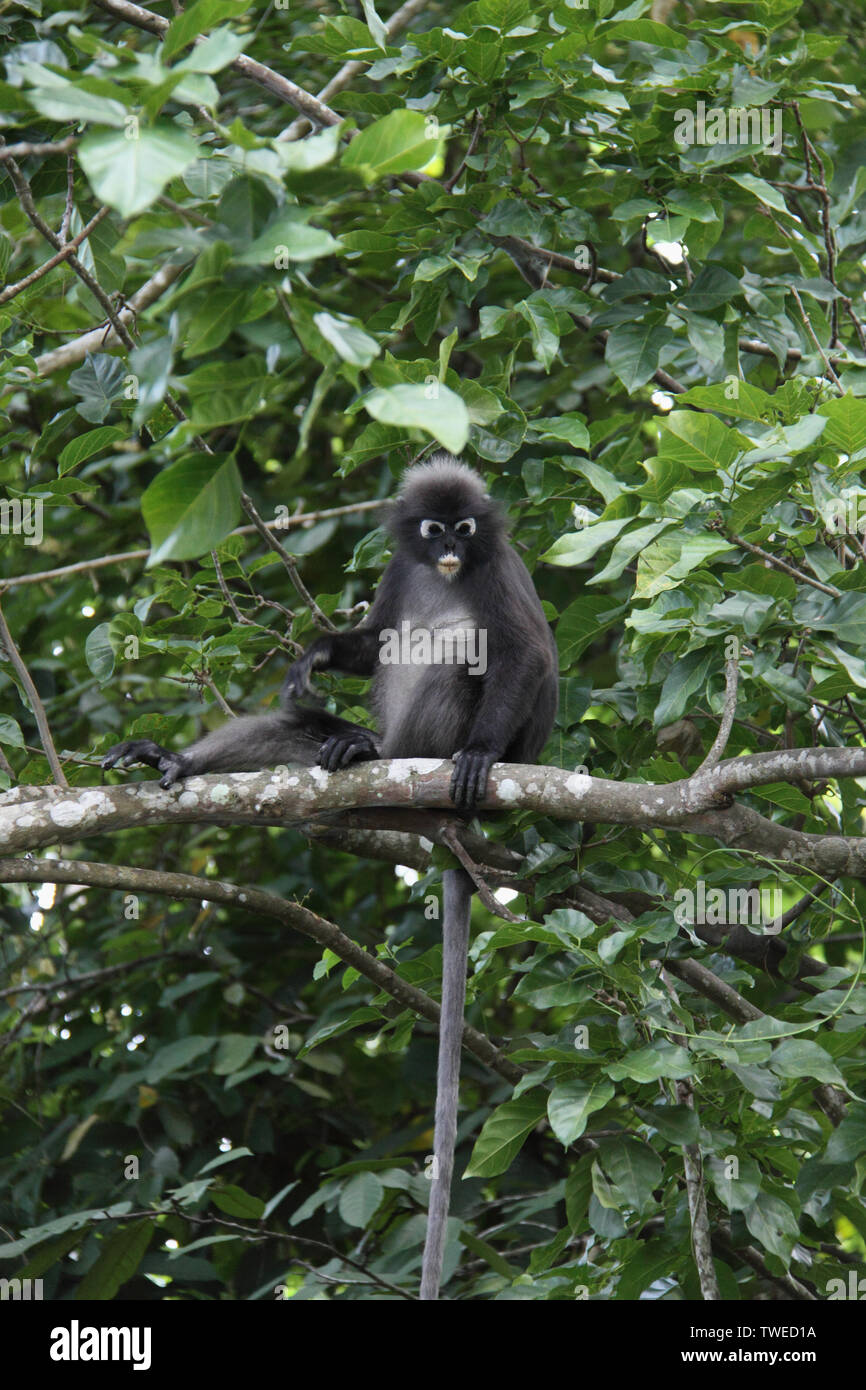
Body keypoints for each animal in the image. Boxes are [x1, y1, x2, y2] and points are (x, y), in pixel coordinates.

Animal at [102, 455, 558, 1298]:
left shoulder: (499, 577)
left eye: (466, 529)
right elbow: (373, 643)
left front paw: (481, 752)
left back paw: (400, 759)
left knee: (463, 655)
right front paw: (317, 652)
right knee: (297, 726)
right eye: (432, 530)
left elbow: (523, 654)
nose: (450, 552)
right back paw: (213, 759)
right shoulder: (401, 573)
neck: (447, 575)